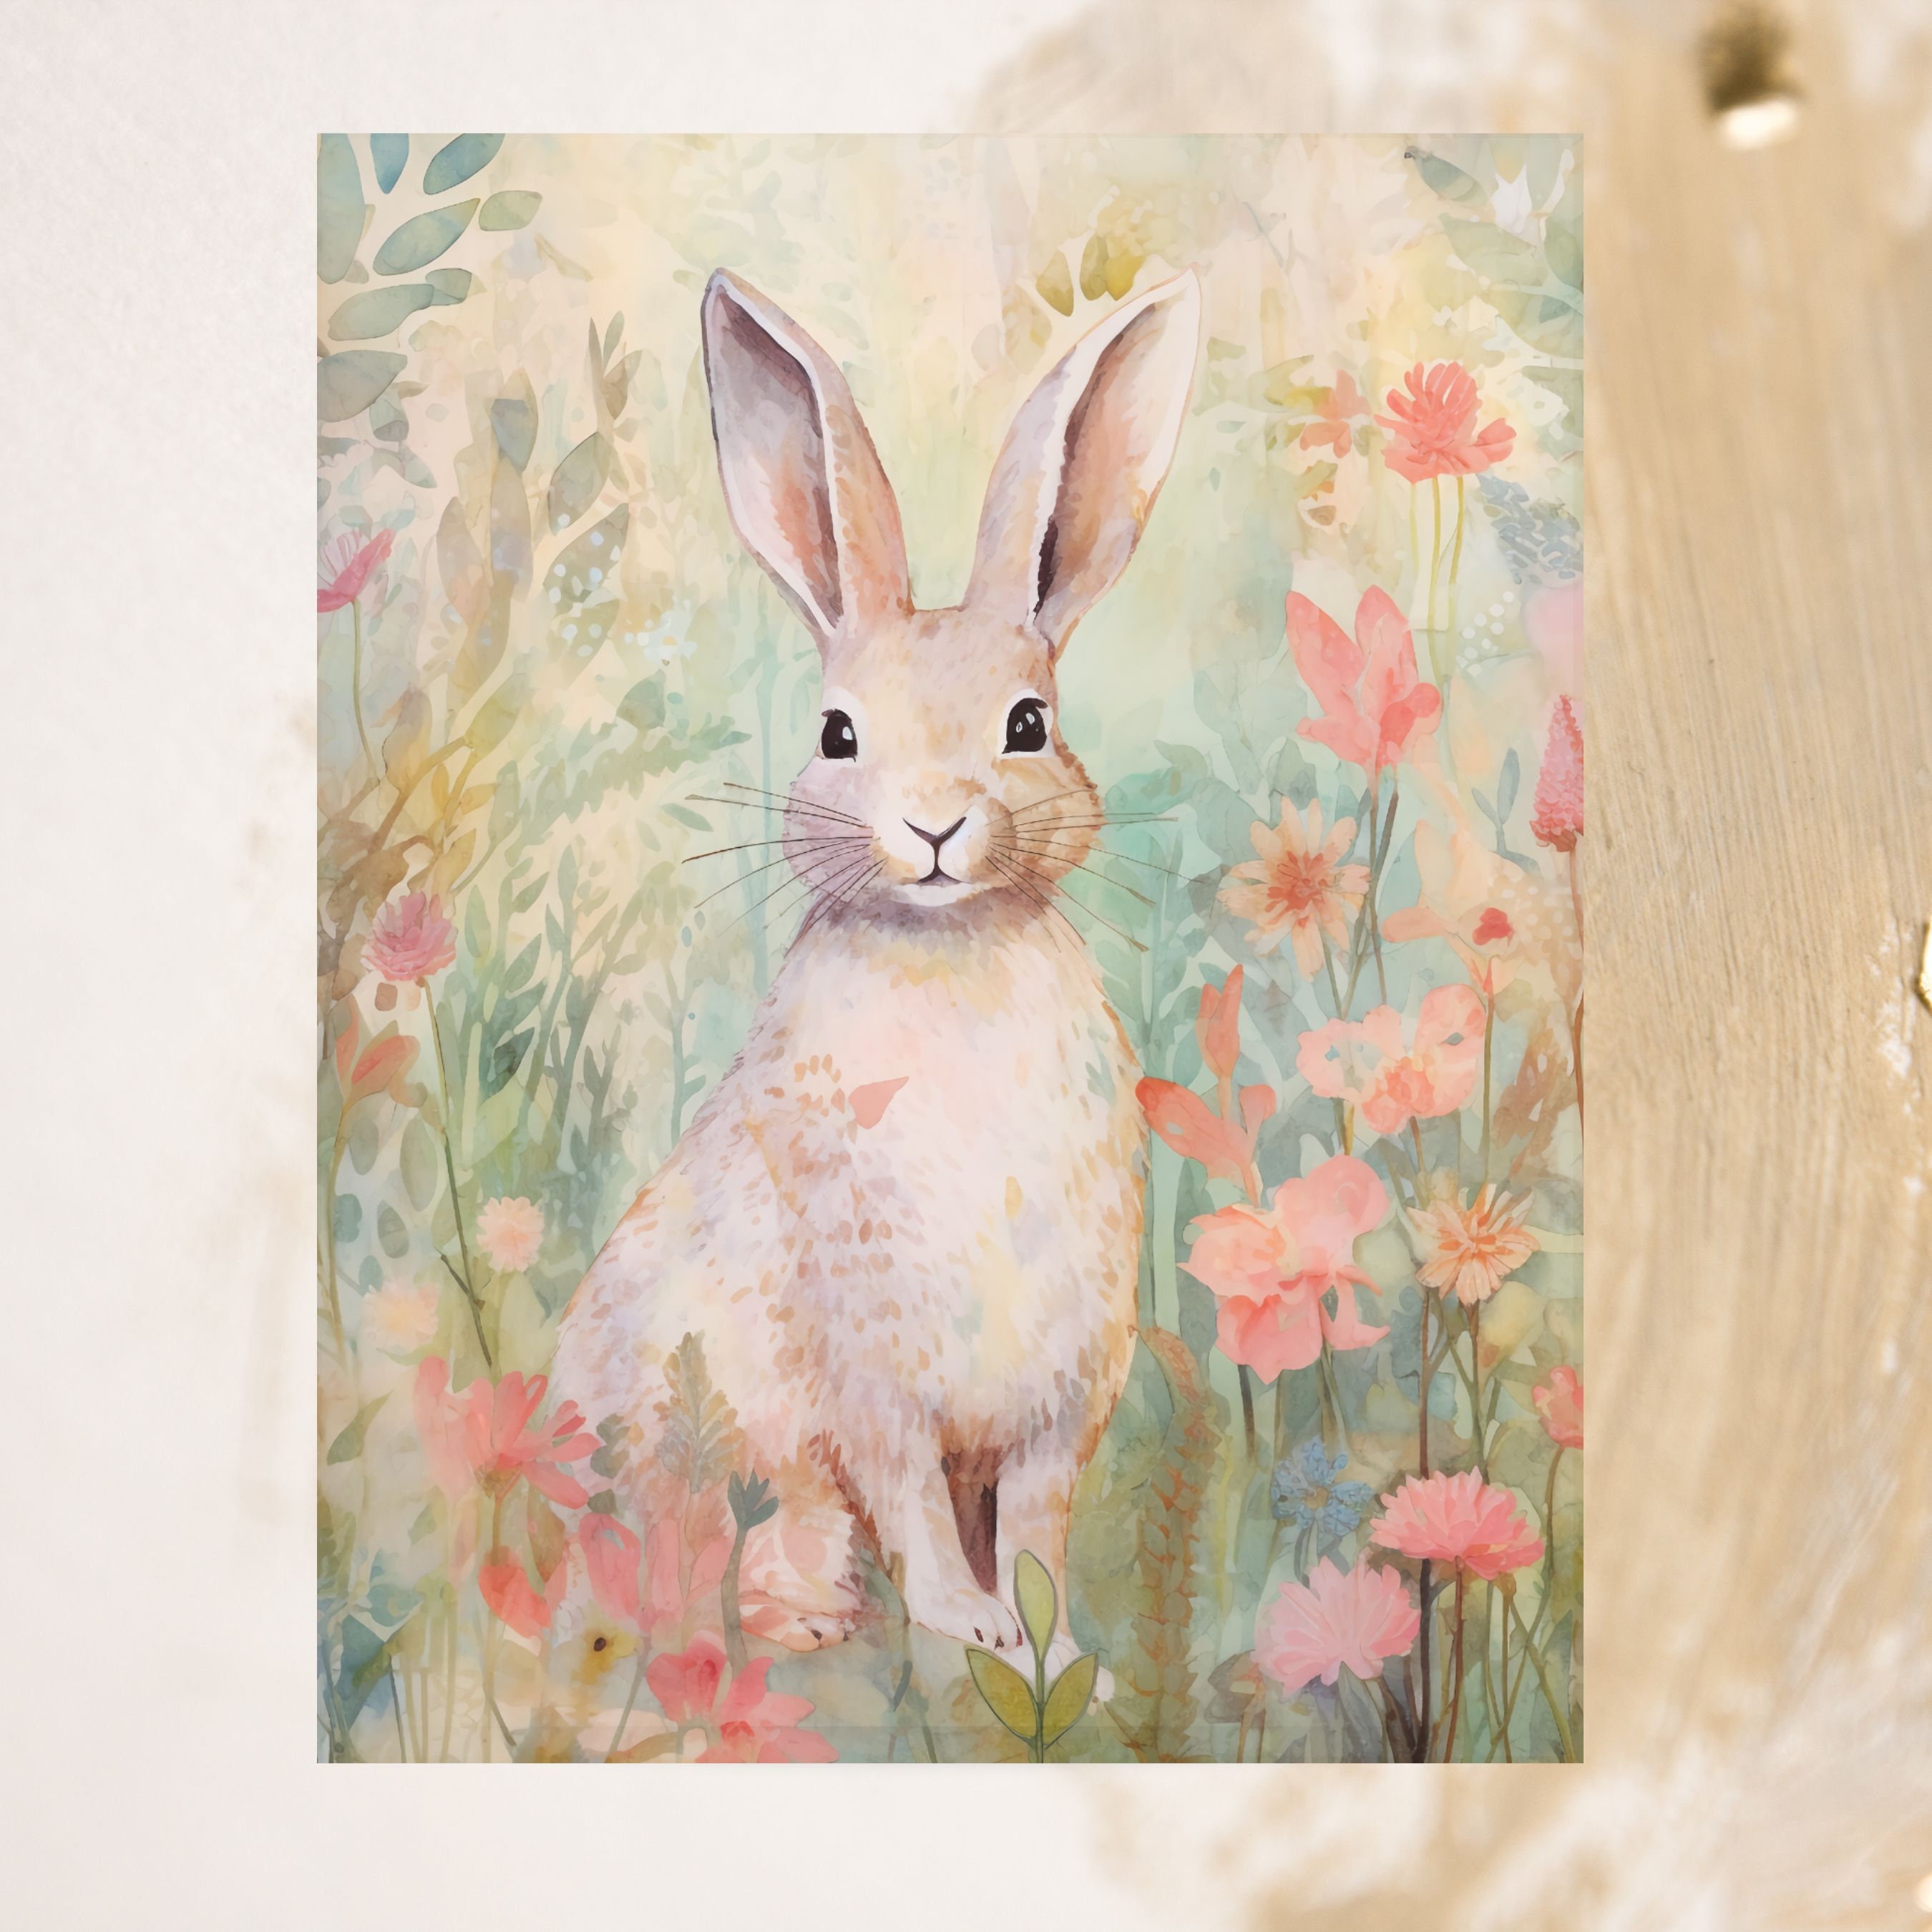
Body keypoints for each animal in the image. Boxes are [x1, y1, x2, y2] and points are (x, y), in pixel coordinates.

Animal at [552, 265, 1201, 1673]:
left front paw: (1056, 1657)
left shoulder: (1058, 1401)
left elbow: (1039, 1529)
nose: (937, 826)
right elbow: (916, 1512)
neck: (952, 955)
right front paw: (975, 1634)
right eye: (839, 735)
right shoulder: (873, 1386)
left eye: (1030, 726)